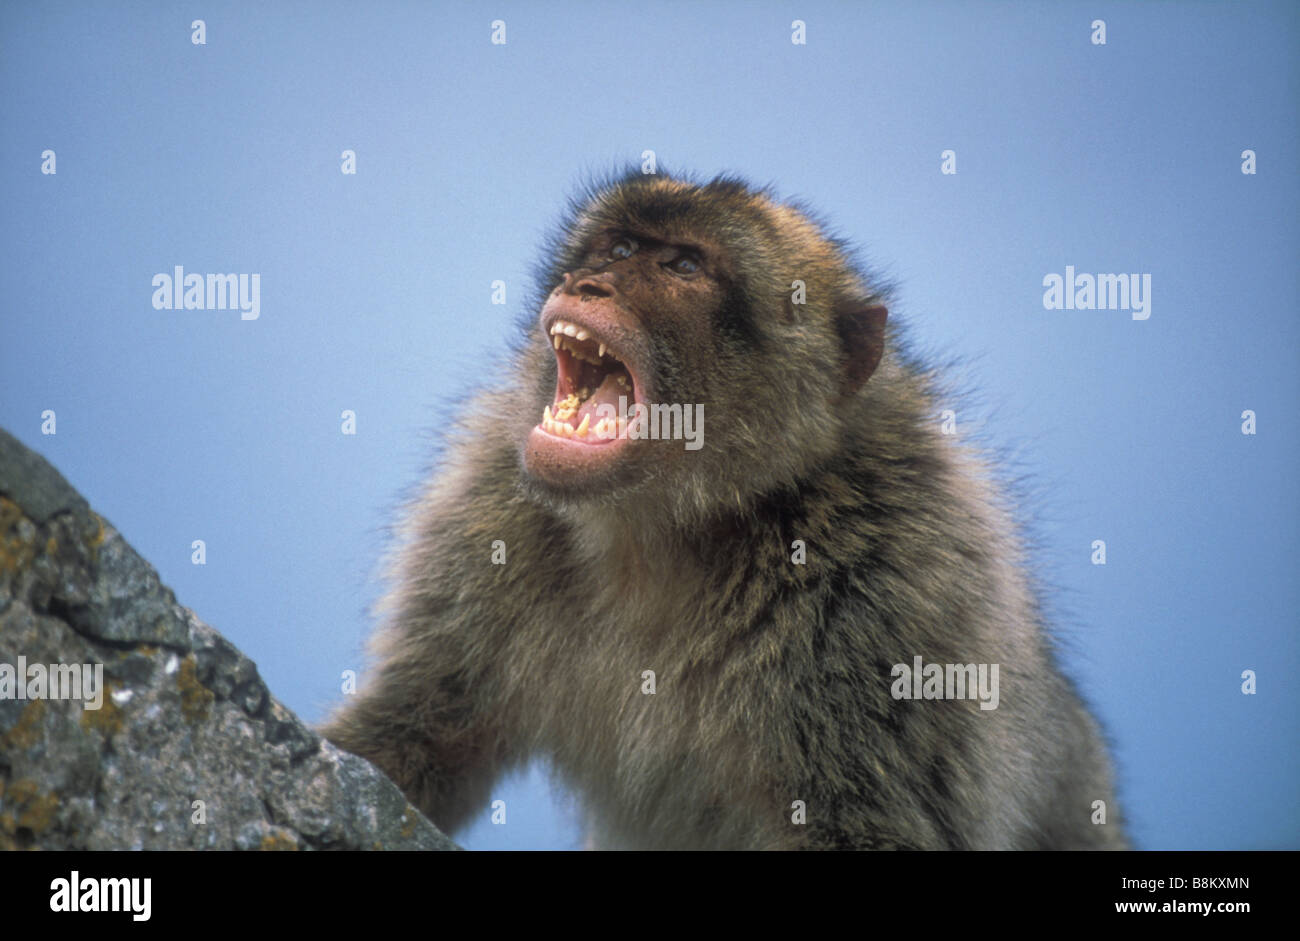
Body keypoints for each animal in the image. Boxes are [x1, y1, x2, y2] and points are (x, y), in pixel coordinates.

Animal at [321, 170, 1126, 850]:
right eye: (619, 248)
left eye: (683, 267)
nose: (590, 283)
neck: (663, 531)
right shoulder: (487, 511)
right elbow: (418, 732)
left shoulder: (898, 592)